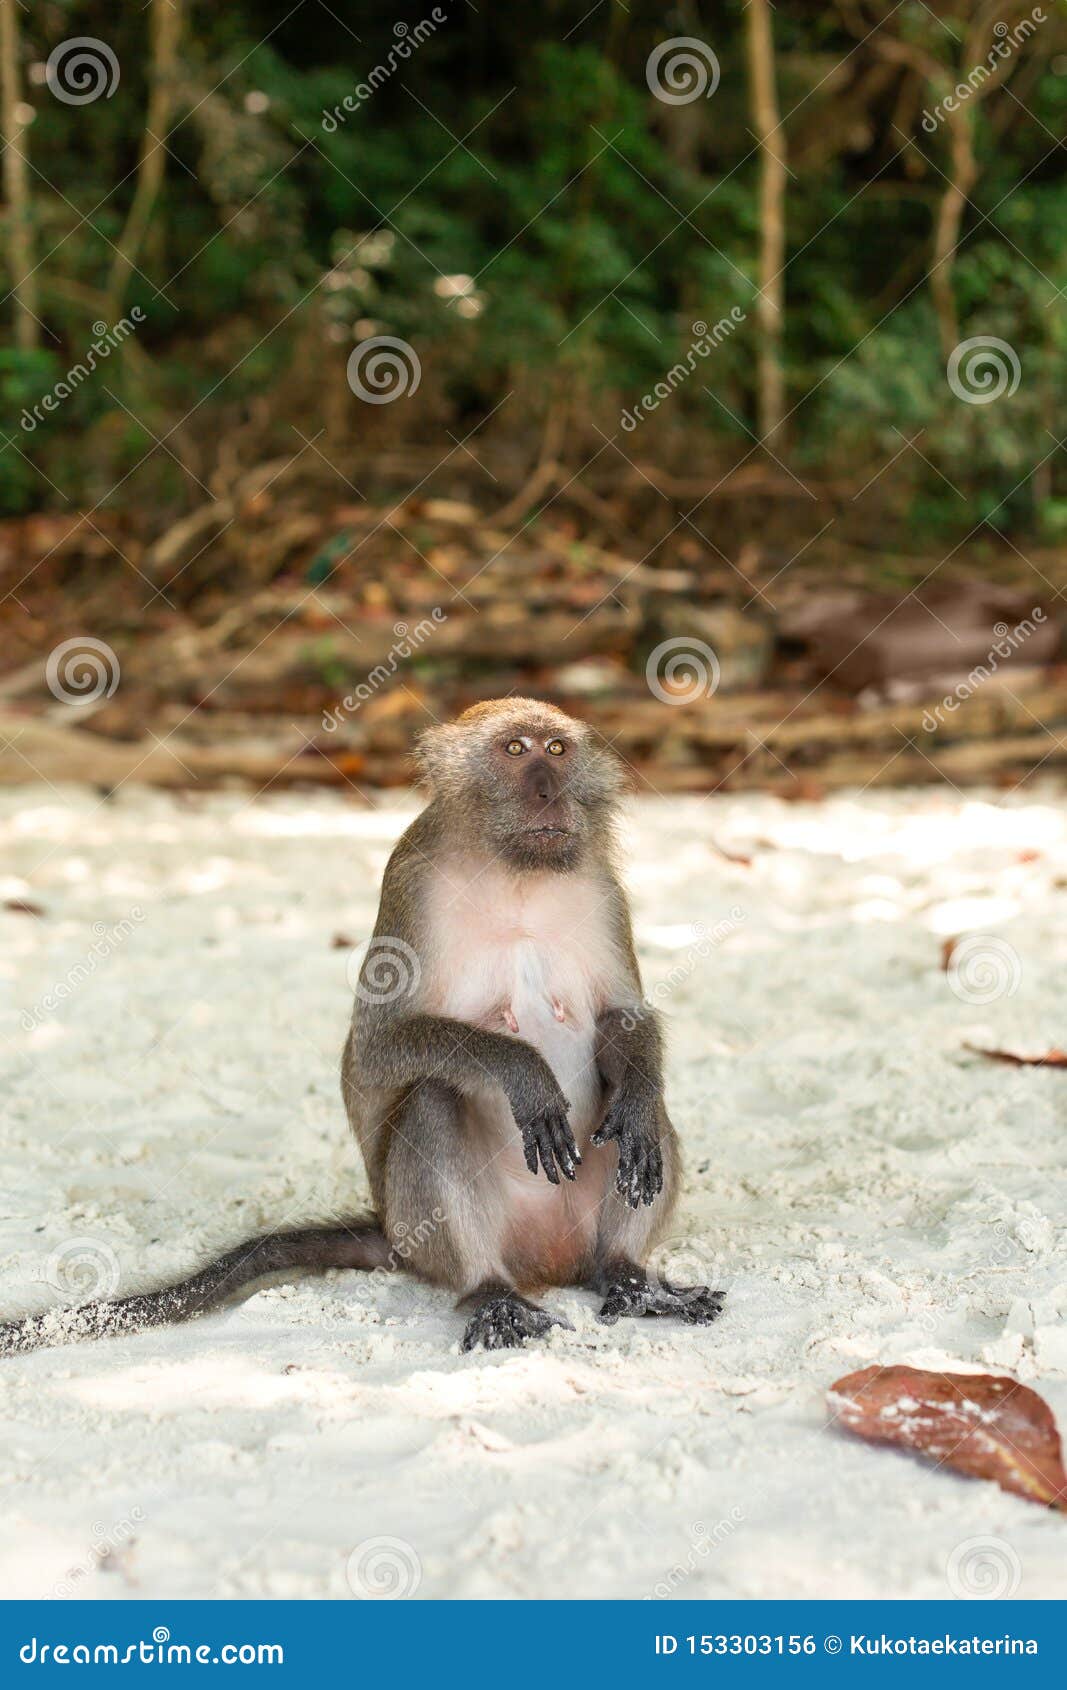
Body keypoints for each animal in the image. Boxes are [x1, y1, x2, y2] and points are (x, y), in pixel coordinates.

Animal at [1, 698, 723, 1357]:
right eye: (515, 750)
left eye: (557, 749)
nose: (549, 790)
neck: (515, 874)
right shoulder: (411, 882)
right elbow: (375, 1051)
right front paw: (523, 1073)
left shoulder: (603, 890)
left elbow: (621, 1020)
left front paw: (634, 1093)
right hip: (423, 1232)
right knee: (433, 1101)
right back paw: (489, 1291)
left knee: (638, 1128)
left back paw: (627, 1274)